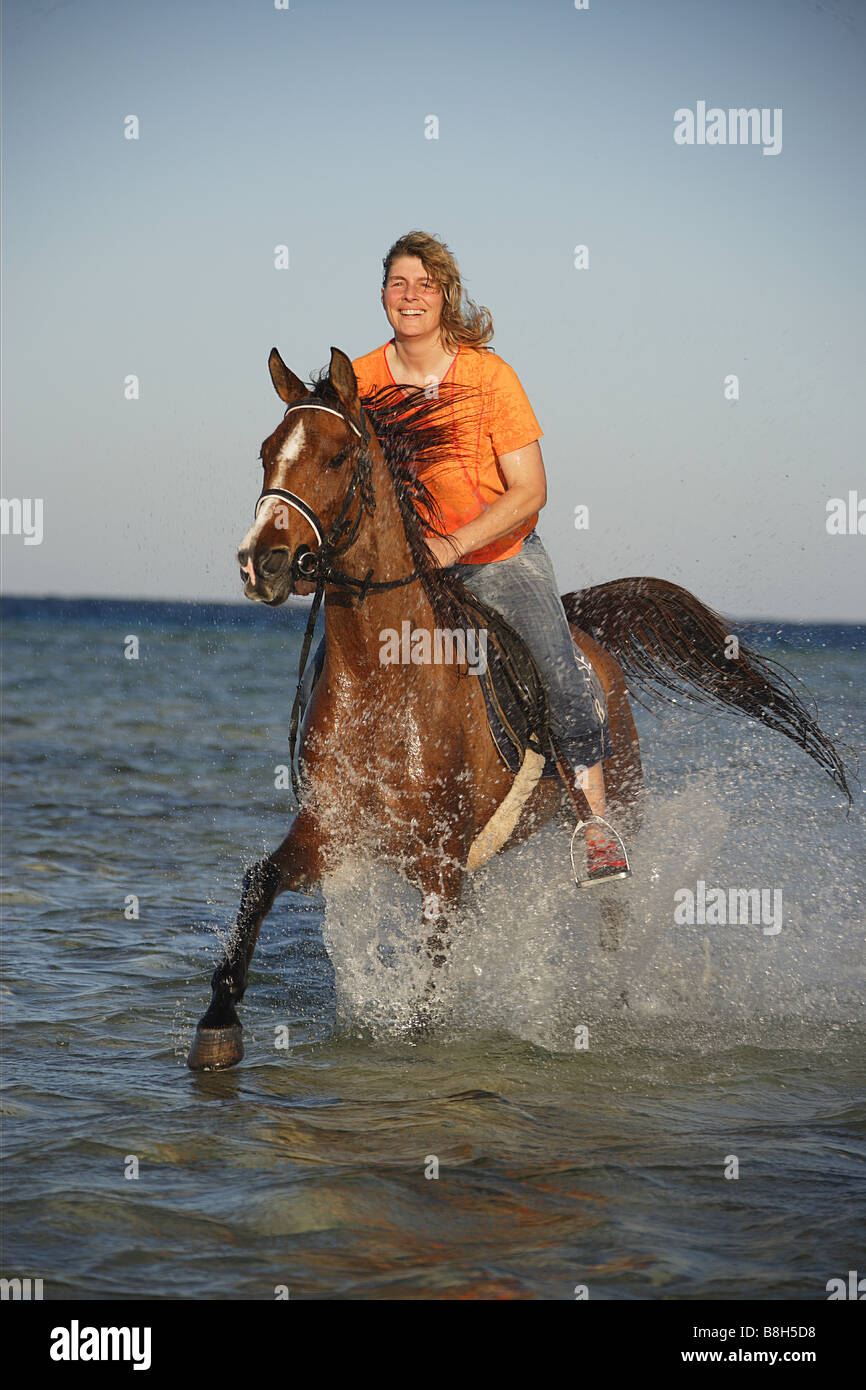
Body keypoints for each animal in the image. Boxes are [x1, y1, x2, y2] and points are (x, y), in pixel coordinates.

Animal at [187, 346, 852, 1070]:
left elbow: (431, 987)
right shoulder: (331, 831)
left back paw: (613, 1004)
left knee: (614, 918)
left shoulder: (444, 867)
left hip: (619, 805)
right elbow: (259, 884)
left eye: (337, 457)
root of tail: (582, 628)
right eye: (266, 453)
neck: (384, 684)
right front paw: (218, 1022)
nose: (262, 562)